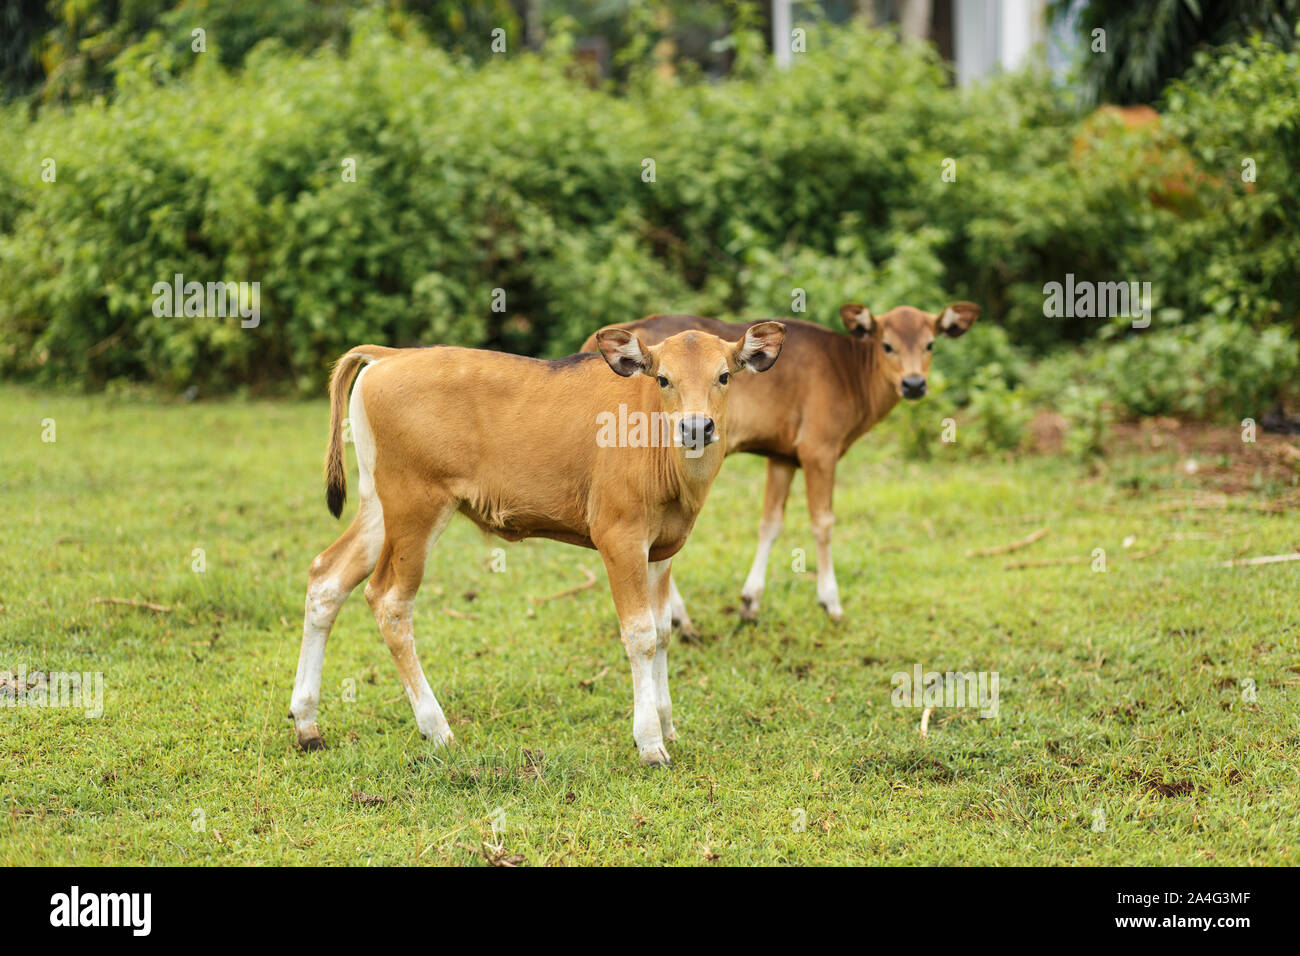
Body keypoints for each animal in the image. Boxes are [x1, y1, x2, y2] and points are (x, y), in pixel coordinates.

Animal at [289, 323, 786, 767]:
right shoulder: (619, 537)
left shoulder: (661, 550)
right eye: (664, 378)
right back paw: (437, 728)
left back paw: (307, 724)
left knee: (327, 577)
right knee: (389, 600)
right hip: (417, 507)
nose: (696, 427)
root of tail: (389, 356)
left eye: (724, 375)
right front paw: (649, 743)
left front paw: (667, 725)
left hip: (379, 505)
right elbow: (640, 634)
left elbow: (663, 631)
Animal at [581, 302, 979, 632]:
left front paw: (750, 601)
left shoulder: (783, 456)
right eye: (887, 345)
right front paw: (831, 602)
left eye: (930, 344)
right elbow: (823, 522)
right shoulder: (819, 450)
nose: (914, 384)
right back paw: (680, 617)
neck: (848, 372)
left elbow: (770, 523)